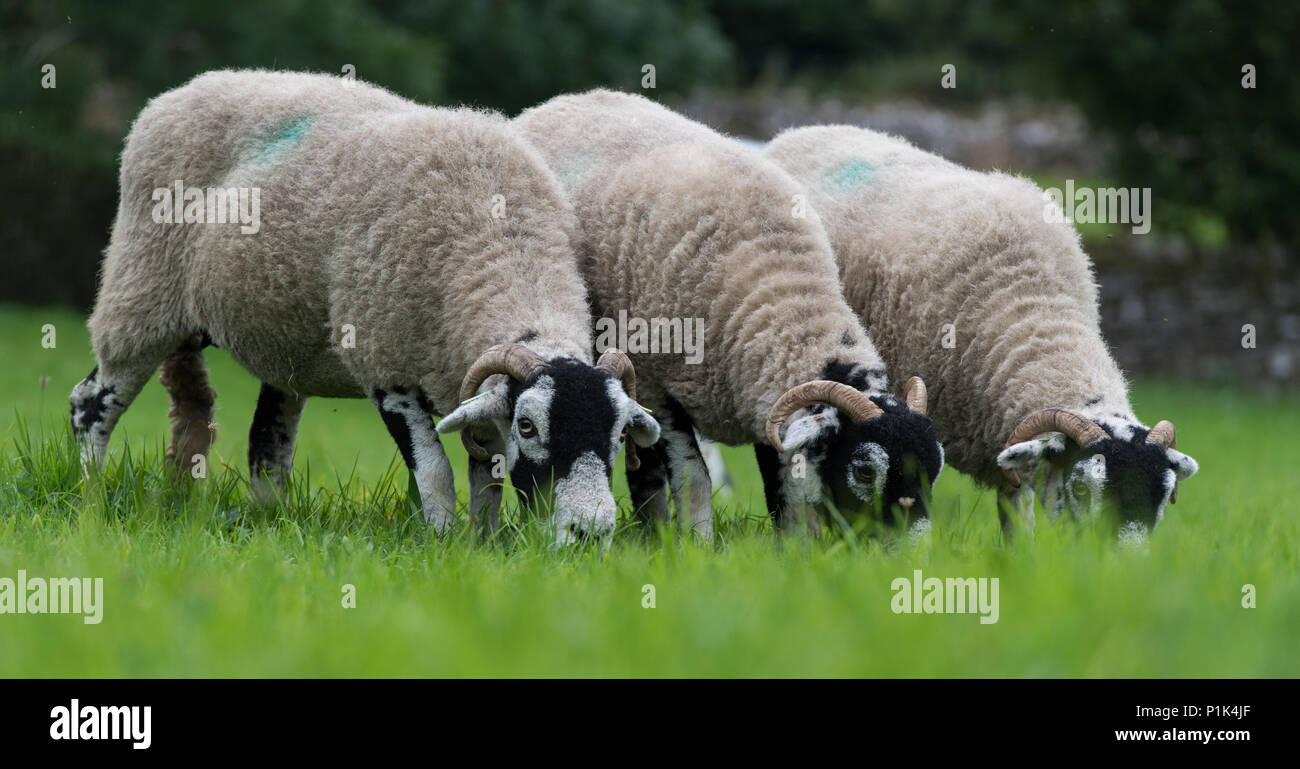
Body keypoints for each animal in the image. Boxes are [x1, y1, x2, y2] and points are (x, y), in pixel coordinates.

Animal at [68, 70, 660, 545]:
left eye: (619, 433)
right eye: (530, 427)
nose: (590, 533)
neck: (504, 256)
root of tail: (179, 91)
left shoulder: (469, 386)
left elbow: (487, 478)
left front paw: (485, 544)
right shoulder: (388, 370)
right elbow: (436, 474)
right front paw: (442, 544)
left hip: (275, 337)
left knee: (266, 445)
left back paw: (273, 521)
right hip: (141, 290)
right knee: (91, 402)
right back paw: (89, 498)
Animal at [514, 90, 942, 538]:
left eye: (934, 470)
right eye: (864, 471)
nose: (912, 551)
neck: (780, 292)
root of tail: (573, 97)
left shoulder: (768, 401)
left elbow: (786, 493)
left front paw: (795, 547)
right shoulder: (655, 385)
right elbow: (693, 478)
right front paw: (697, 544)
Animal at [761, 125, 1199, 536]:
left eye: (1163, 497)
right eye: (1081, 489)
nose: (1117, 560)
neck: (1033, 312)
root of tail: (801, 132)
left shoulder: (1009, 448)